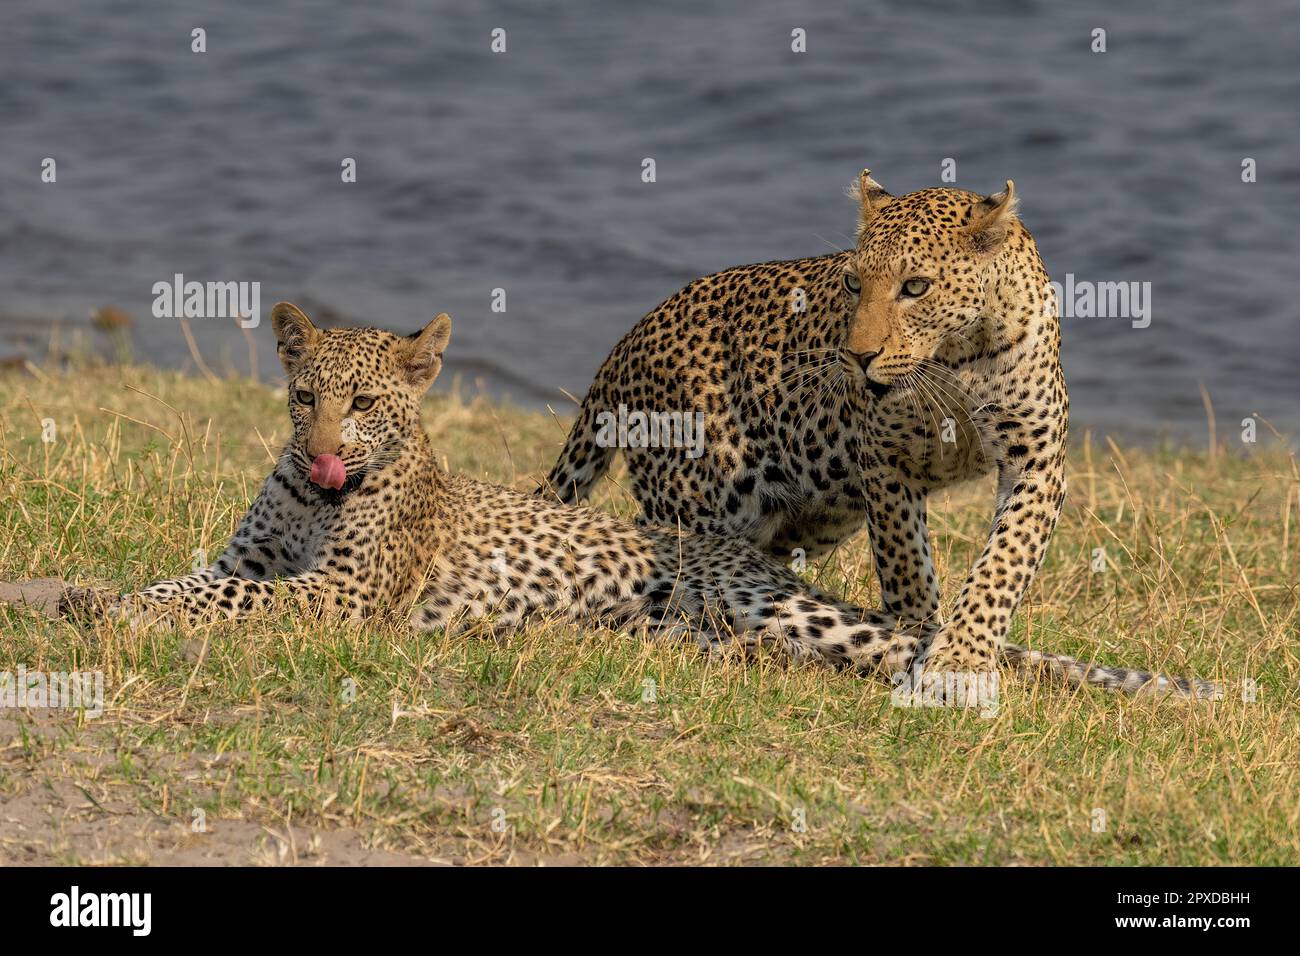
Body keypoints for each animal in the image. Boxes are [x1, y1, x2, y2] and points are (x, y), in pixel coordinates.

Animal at [51, 302, 1216, 698]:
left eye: (367, 403)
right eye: (305, 398)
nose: (325, 453)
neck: (310, 492)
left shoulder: (334, 596)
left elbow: (226, 604)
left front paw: (121, 610)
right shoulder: (247, 556)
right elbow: (191, 582)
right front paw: (92, 597)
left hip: (771, 596)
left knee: (901, 645)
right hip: (705, 618)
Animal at [543, 170, 1083, 676]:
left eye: (916, 287)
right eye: (853, 284)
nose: (858, 357)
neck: (957, 356)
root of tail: (628, 340)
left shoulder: (1035, 461)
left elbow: (1004, 561)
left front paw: (962, 656)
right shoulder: (885, 462)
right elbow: (907, 566)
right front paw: (922, 638)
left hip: (804, 521)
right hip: (703, 502)